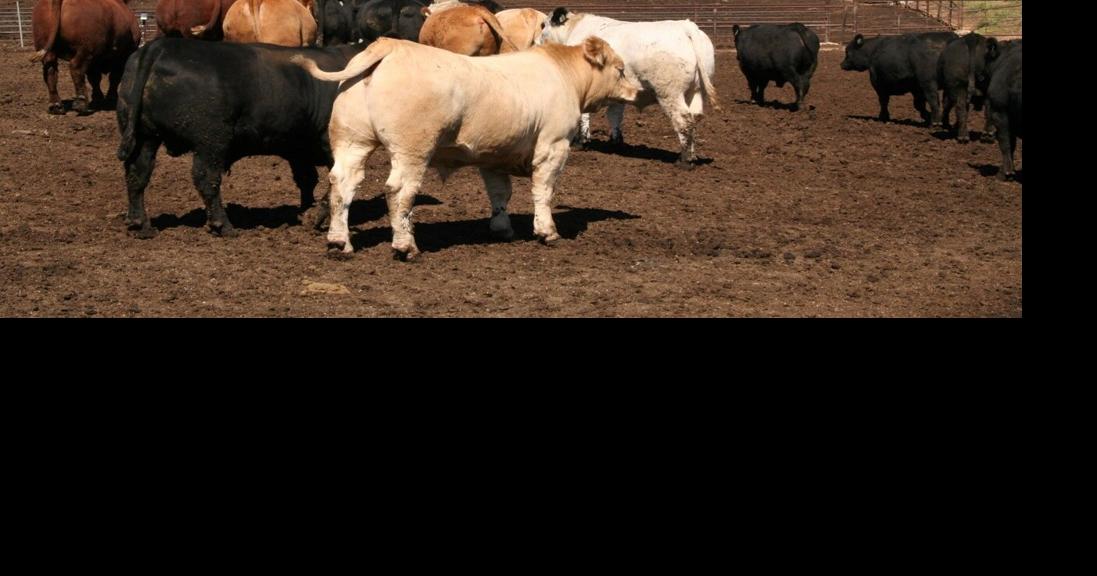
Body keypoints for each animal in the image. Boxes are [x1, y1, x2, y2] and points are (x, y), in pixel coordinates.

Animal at [116, 38, 365, 238]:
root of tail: (159, 45)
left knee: (137, 174)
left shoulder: (298, 148)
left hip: (146, 137)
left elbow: (307, 179)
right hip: (211, 142)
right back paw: (223, 225)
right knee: (207, 179)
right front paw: (319, 214)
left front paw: (307, 209)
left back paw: (140, 224)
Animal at [292, 36, 641, 259]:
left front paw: (501, 228)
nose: (637, 91)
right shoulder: (553, 147)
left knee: (342, 186)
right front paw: (547, 232)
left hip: (352, 141)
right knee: (399, 192)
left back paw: (339, 243)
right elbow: (543, 192)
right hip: (412, 150)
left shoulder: (495, 155)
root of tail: (390, 45)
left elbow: (500, 194)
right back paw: (406, 246)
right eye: (620, 69)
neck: (565, 76)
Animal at [541, 7, 720, 167]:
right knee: (695, 118)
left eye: (544, 25)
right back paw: (692, 156)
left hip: (670, 94)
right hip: (696, 91)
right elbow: (614, 115)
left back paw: (684, 161)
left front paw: (582, 142)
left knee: (683, 120)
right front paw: (615, 142)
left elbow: (584, 116)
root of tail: (686, 27)